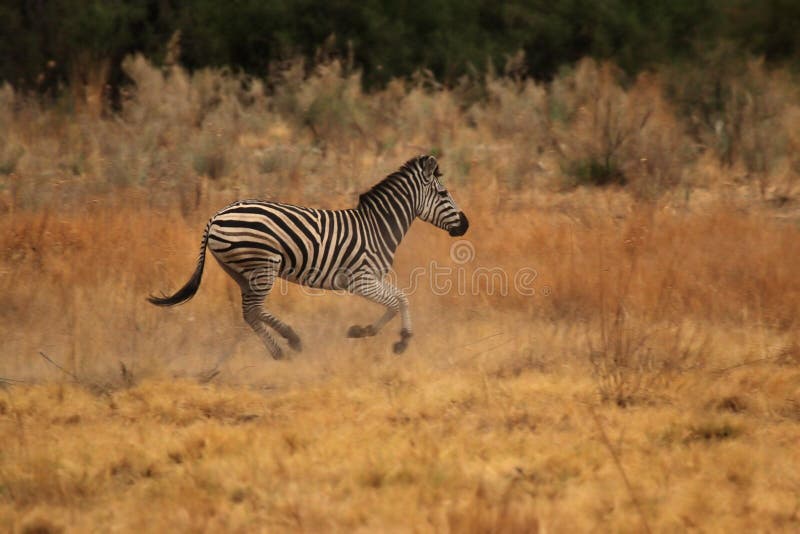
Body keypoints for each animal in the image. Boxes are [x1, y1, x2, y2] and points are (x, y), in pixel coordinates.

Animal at [148, 154, 469, 358]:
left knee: (250, 312)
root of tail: (216, 215)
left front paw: (361, 331)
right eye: (444, 194)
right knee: (253, 310)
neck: (377, 226)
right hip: (264, 265)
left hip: (240, 271)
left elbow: (396, 301)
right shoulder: (360, 279)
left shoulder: (369, 280)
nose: (465, 224)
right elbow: (399, 299)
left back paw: (283, 348)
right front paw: (400, 341)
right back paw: (289, 342)